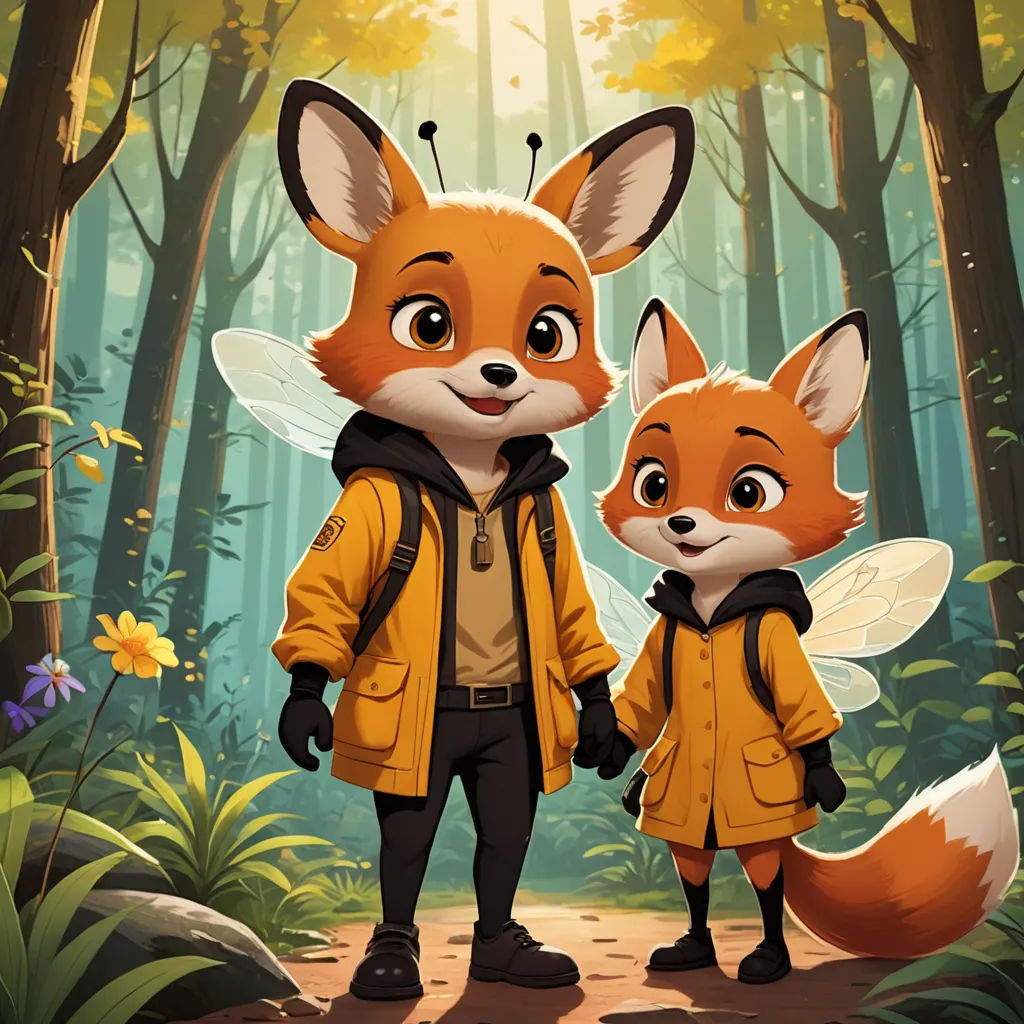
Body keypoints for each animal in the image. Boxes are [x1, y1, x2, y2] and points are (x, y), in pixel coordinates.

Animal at [215, 82, 696, 999]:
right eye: (428, 322)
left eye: (547, 334)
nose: (500, 375)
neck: (470, 473)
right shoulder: (371, 508)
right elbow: (327, 601)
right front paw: (303, 712)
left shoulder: (548, 537)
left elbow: (571, 628)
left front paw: (600, 724)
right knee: (408, 836)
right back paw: (391, 959)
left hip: (513, 742)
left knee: (505, 832)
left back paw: (510, 952)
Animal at [593, 296, 1020, 981]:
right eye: (653, 484)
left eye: (749, 491)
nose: (680, 523)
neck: (712, 609)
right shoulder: (665, 640)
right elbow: (645, 701)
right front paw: (608, 747)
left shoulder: (773, 643)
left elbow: (808, 716)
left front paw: (826, 781)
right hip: (676, 804)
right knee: (693, 865)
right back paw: (693, 950)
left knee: (766, 871)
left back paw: (768, 958)